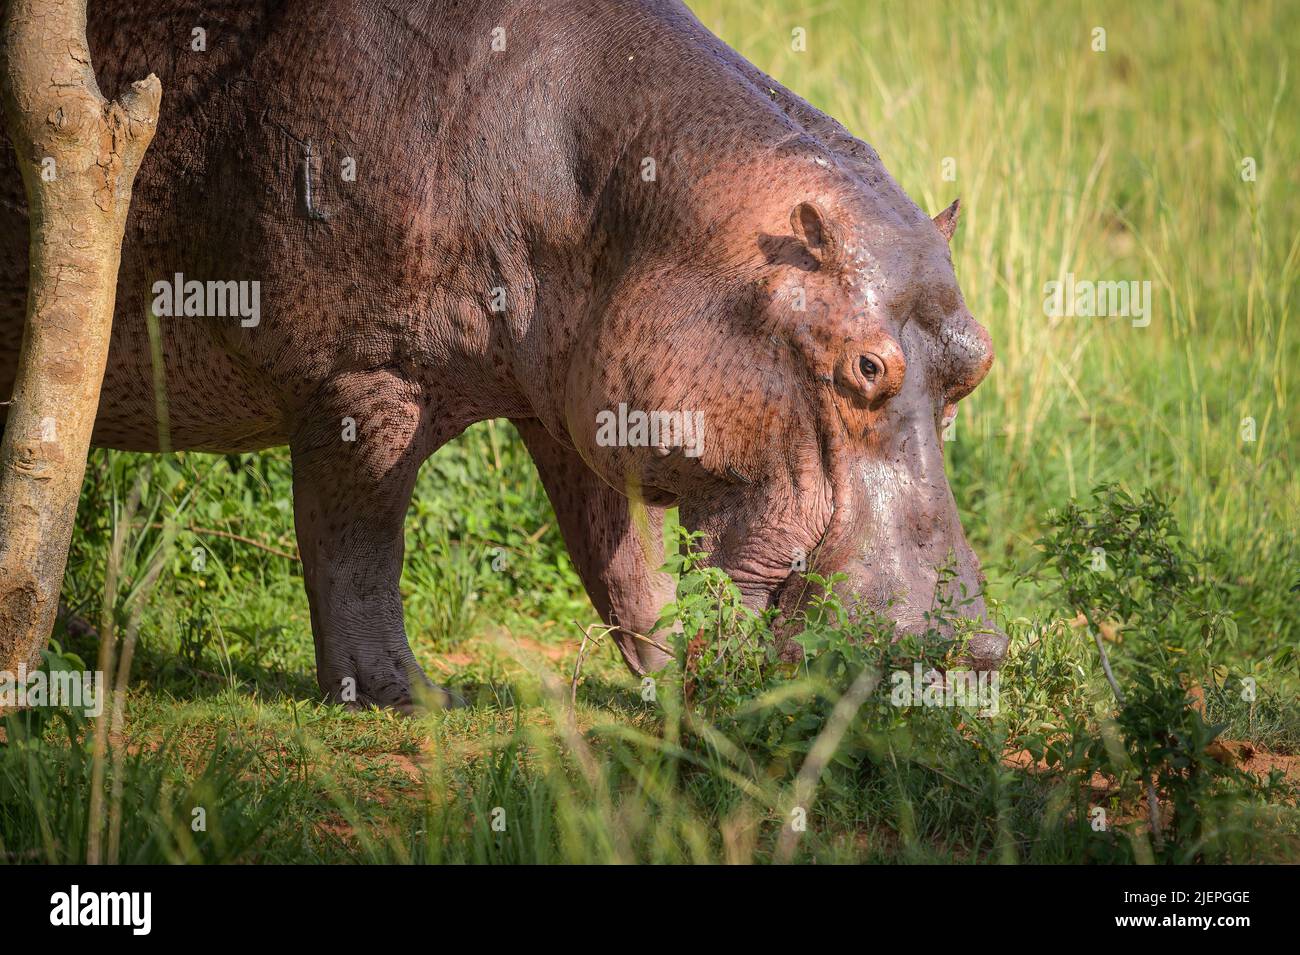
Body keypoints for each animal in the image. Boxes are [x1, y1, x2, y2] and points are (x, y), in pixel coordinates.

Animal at [0, 0, 1002, 709]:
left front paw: (677, 687)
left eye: (977, 360)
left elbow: (627, 564)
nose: (972, 649)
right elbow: (359, 539)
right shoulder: (364, 377)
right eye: (864, 367)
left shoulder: (581, 400)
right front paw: (409, 698)